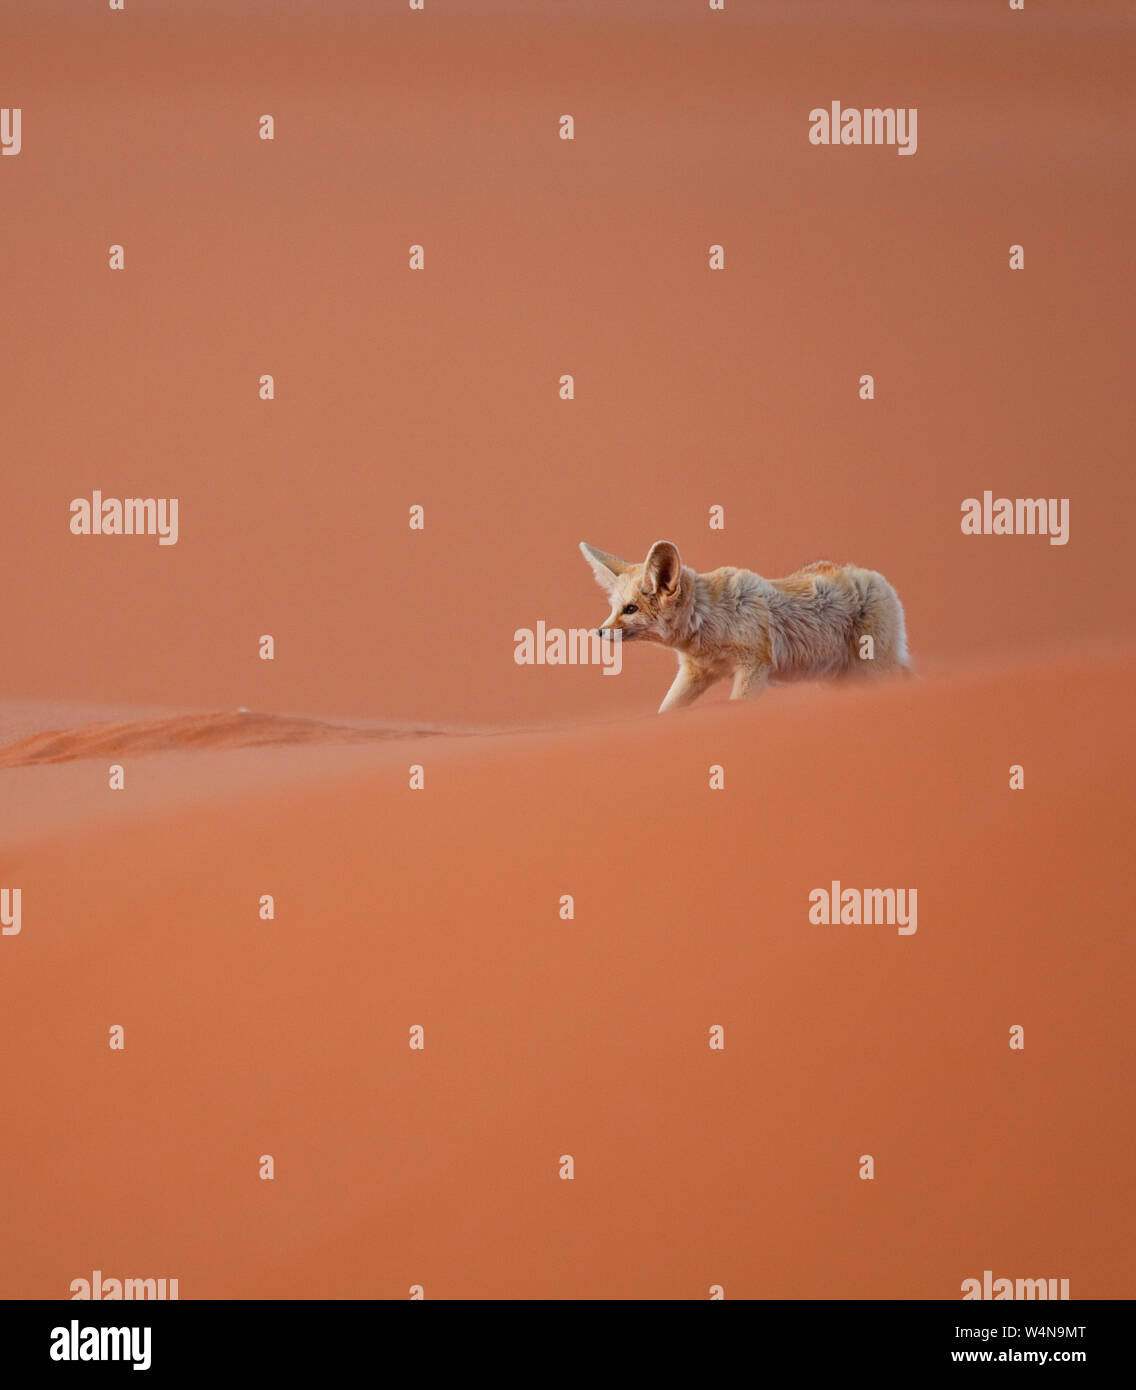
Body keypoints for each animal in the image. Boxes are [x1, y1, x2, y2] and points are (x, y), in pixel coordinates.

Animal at [580, 540, 910, 712]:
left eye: (630, 609)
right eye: (614, 609)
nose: (599, 631)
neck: (708, 619)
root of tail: (877, 577)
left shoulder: (754, 666)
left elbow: (738, 703)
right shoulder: (695, 672)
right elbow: (666, 710)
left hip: (873, 670)